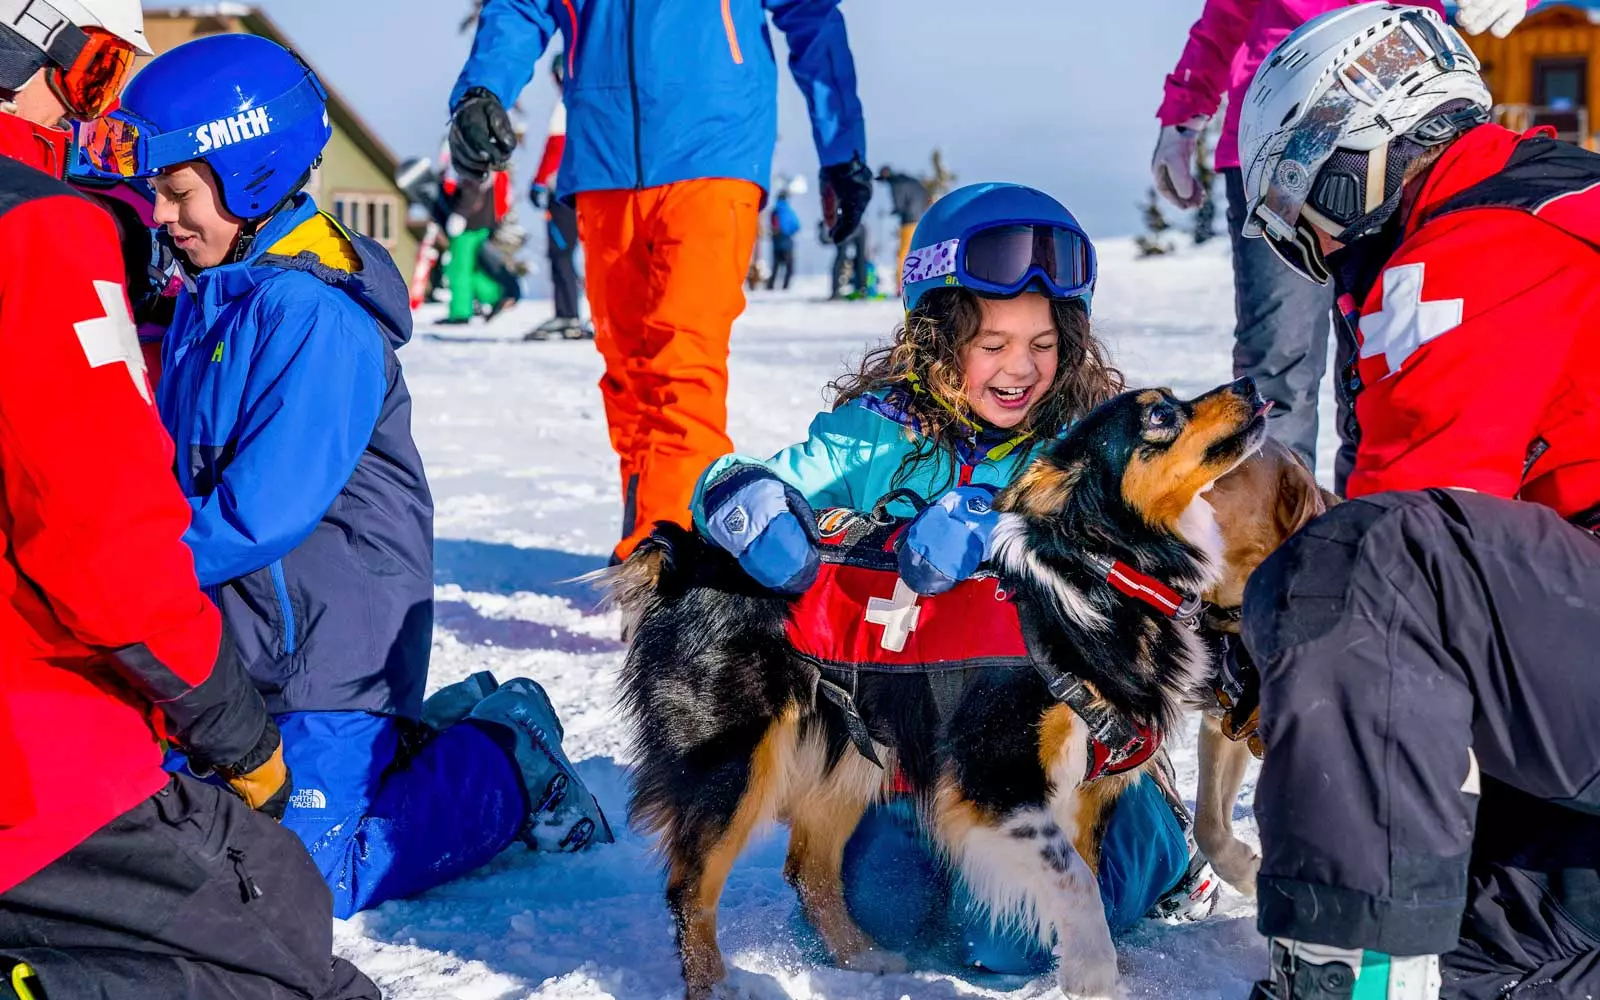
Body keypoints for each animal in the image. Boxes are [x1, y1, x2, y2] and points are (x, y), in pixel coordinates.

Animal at [611, 376, 1273, 998]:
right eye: (1160, 414)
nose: (1249, 385)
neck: (1102, 575)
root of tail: (688, 558)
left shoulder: (1091, 785)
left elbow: (1084, 877)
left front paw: (1083, 967)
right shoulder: (993, 776)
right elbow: (1076, 878)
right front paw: (1093, 976)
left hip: (853, 756)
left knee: (808, 868)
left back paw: (865, 959)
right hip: (732, 764)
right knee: (690, 889)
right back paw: (716, 985)